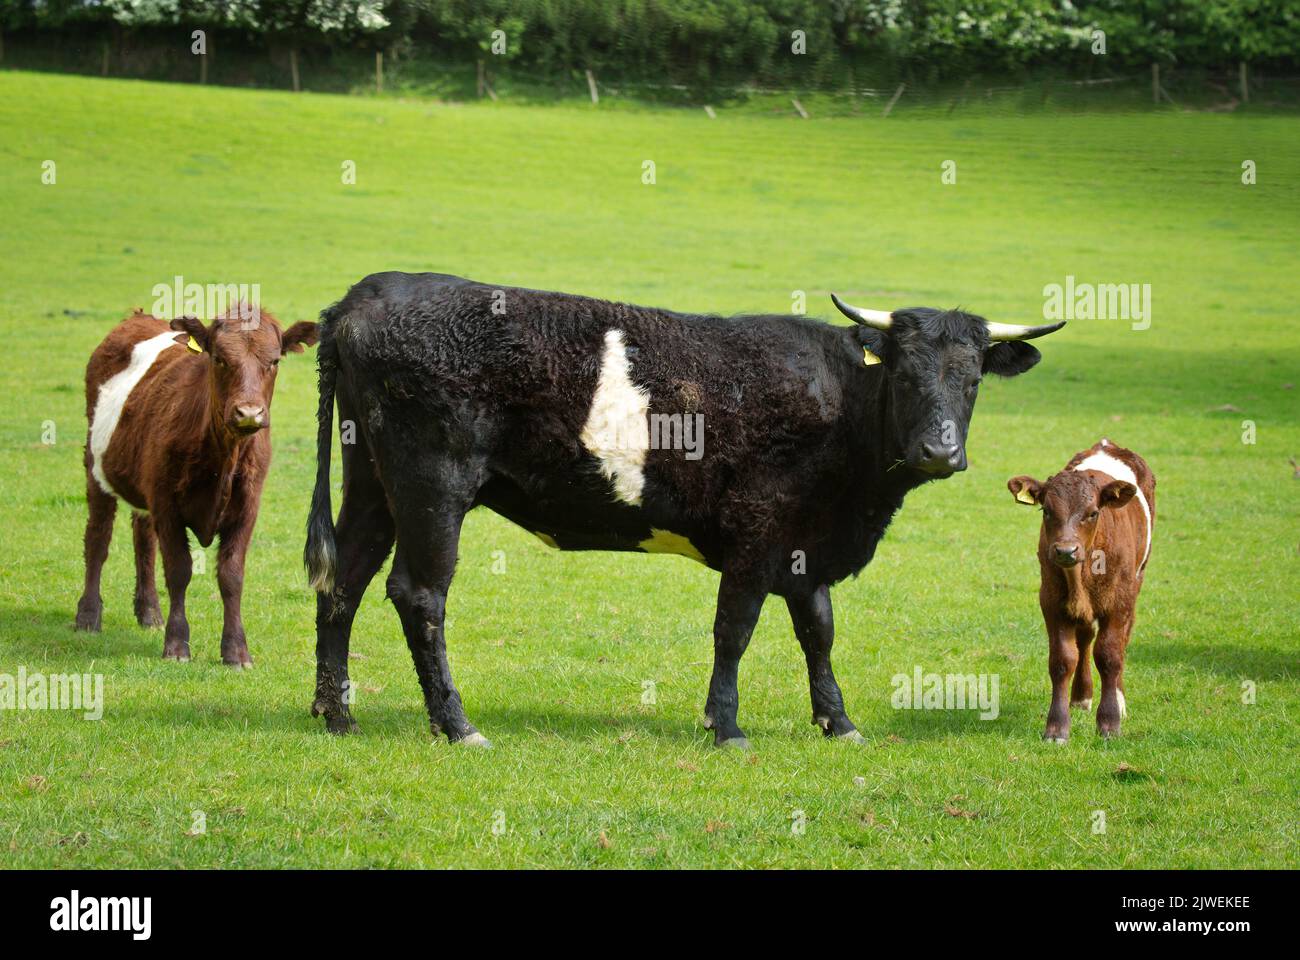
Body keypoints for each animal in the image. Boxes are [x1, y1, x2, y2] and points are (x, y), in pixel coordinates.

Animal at [76, 305, 319, 666]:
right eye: (219, 358)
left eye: (274, 361)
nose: (249, 412)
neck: (224, 456)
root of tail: (137, 317)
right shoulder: (167, 505)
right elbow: (179, 570)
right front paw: (176, 645)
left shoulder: (247, 508)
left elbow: (231, 575)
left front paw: (236, 651)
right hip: (96, 468)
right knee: (98, 538)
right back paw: (88, 615)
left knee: (143, 539)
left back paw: (149, 611)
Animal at [304, 272, 1065, 748]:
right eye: (906, 375)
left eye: (972, 380)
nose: (941, 450)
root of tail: (369, 294)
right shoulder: (756, 534)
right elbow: (736, 630)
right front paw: (725, 726)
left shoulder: (806, 548)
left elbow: (818, 632)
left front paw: (838, 721)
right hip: (434, 488)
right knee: (419, 594)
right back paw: (456, 725)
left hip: (373, 485)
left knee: (344, 582)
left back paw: (335, 713)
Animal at [1007, 439, 1155, 741]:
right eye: (1046, 510)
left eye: (1093, 513)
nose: (1066, 550)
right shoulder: (1051, 600)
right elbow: (1063, 659)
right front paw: (1056, 727)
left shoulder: (1119, 601)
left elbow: (1110, 655)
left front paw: (1110, 722)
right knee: (1085, 637)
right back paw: (1081, 696)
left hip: (1137, 581)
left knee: (1122, 639)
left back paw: (1119, 699)